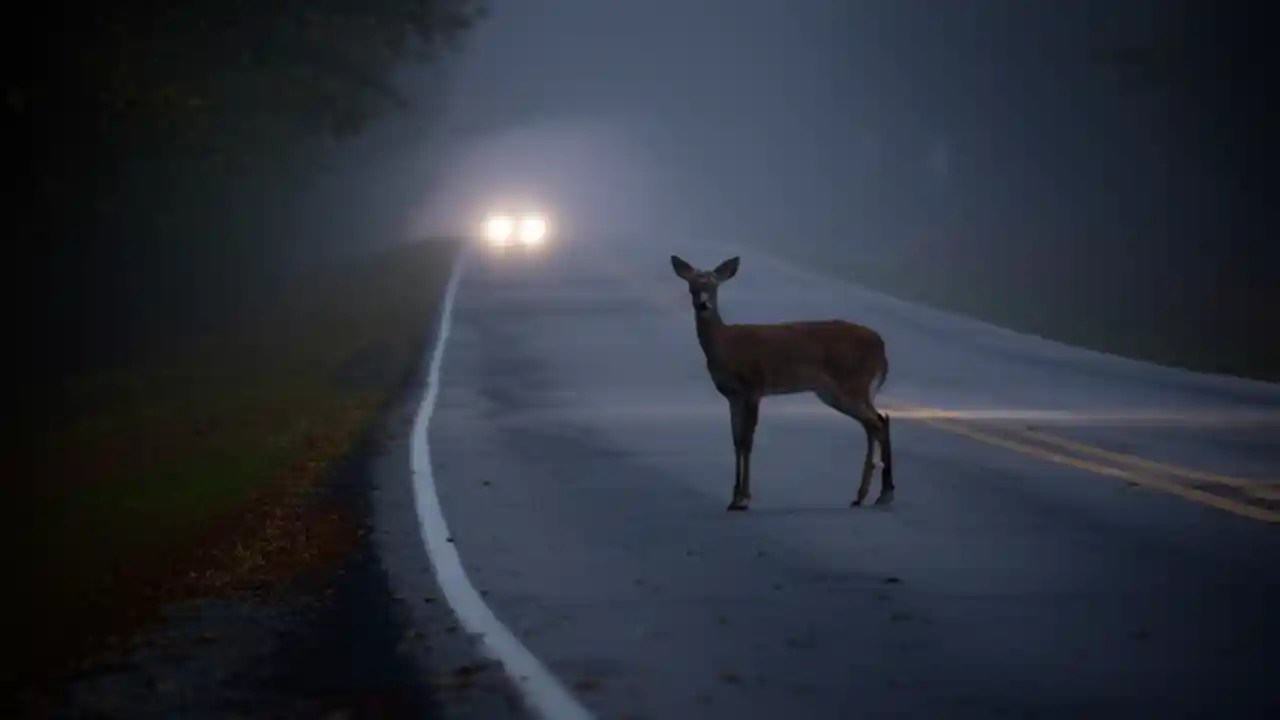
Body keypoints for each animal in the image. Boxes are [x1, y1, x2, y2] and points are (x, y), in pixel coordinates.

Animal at [670, 255, 893, 511]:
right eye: (692, 286)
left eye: (714, 286)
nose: (703, 305)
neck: (726, 346)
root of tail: (881, 349)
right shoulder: (733, 395)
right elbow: (736, 441)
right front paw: (734, 497)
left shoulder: (753, 387)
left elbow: (747, 441)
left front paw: (743, 498)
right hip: (839, 391)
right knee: (874, 423)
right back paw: (862, 495)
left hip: (852, 382)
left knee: (878, 422)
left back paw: (885, 494)